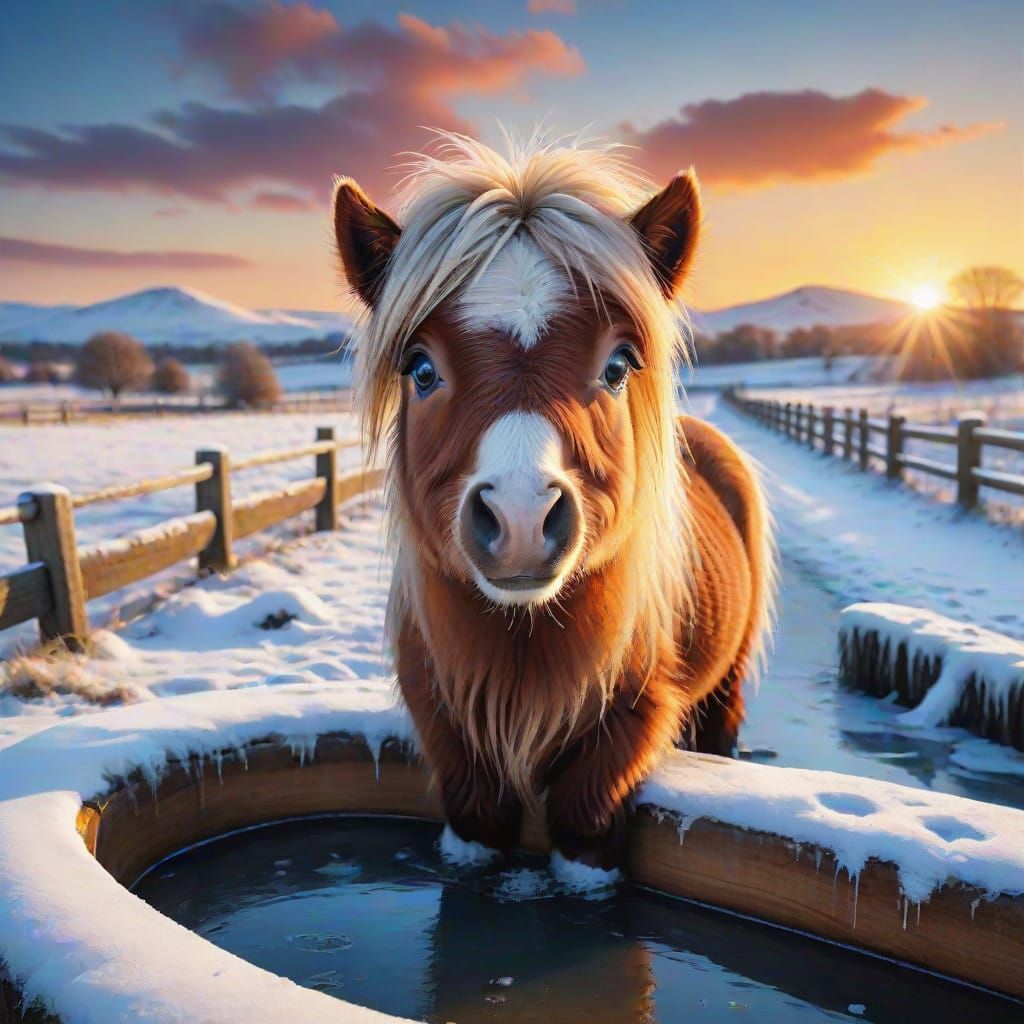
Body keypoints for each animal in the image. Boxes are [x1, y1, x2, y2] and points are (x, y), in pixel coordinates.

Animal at [331, 132, 774, 876]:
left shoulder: (620, 742)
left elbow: (584, 823)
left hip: (725, 686)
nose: (519, 519)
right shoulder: (456, 752)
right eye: (420, 368)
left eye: (618, 365)